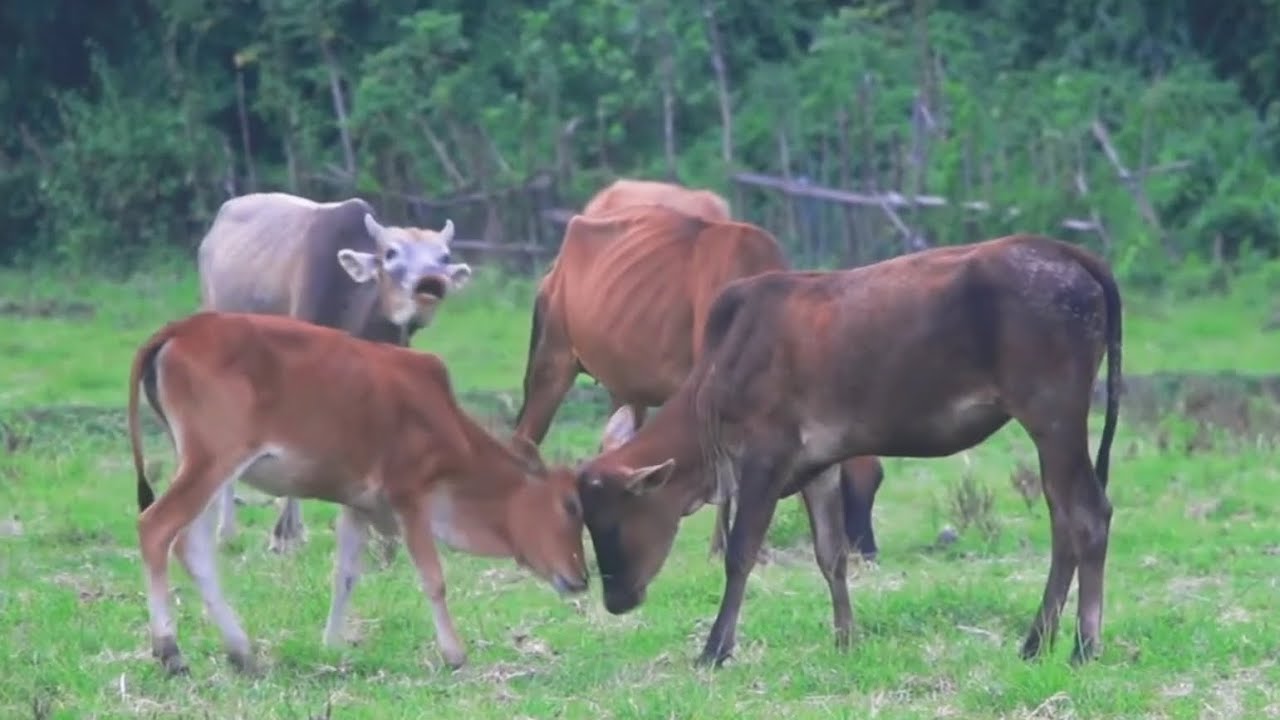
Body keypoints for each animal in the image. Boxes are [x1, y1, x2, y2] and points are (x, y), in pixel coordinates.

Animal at [126, 311, 588, 676]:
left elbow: (345, 576)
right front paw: (454, 653)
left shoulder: (359, 505)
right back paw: (170, 652)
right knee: (156, 527)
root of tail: (183, 327)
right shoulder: (409, 497)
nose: (582, 578)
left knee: (193, 547)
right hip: (212, 462)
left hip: (206, 469)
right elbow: (433, 578)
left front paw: (331, 644)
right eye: (570, 506)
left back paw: (241, 652)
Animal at [196, 191, 473, 555]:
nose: (431, 287)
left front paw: (381, 537)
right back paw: (227, 531)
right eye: (391, 253)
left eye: (444, 256)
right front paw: (285, 535)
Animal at [574, 234, 1122, 669]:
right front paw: (846, 639)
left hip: (1053, 418)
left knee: (1088, 515)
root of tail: (1064, 250)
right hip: (1052, 431)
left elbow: (741, 552)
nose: (615, 600)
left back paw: (1083, 646)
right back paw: (1036, 642)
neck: (716, 378)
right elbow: (831, 555)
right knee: (1063, 519)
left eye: (612, 521)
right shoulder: (817, 468)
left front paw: (714, 649)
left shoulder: (765, 459)